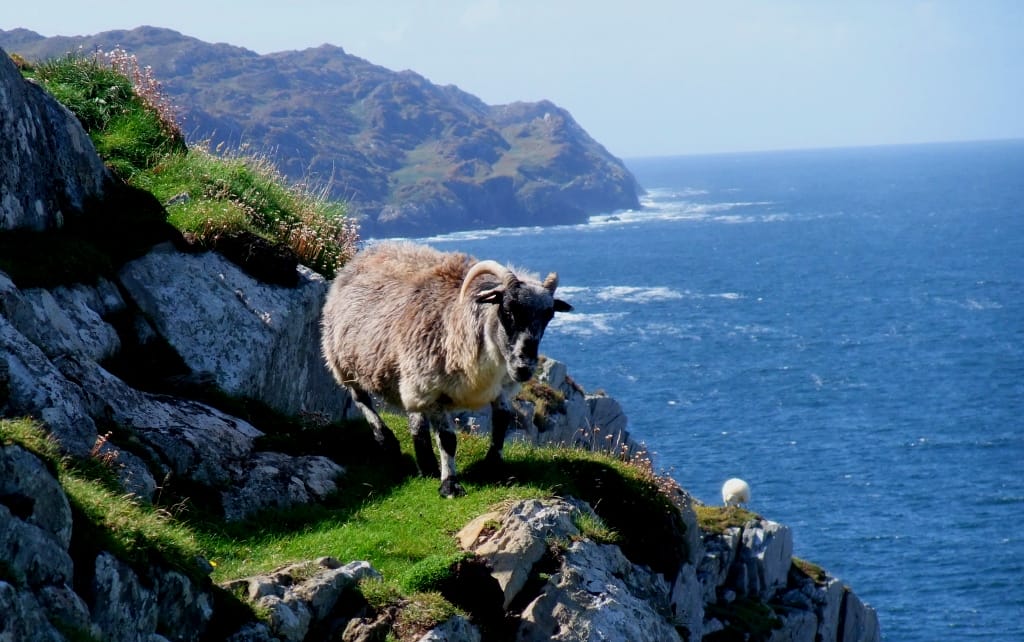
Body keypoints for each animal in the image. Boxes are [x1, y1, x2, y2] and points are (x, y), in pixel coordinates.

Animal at [320, 241, 572, 498]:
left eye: (548, 316)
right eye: (508, 310)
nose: (524, 368)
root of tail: (362, 256)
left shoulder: (499, 387)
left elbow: (502, 420)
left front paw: (491, 465)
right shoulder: (433, 390)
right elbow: (448, 438)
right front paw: (450, 485)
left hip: (408, 378)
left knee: (415, 417)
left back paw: (426, 463)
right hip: (345, 363)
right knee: (362, 399)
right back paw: (388, 441)